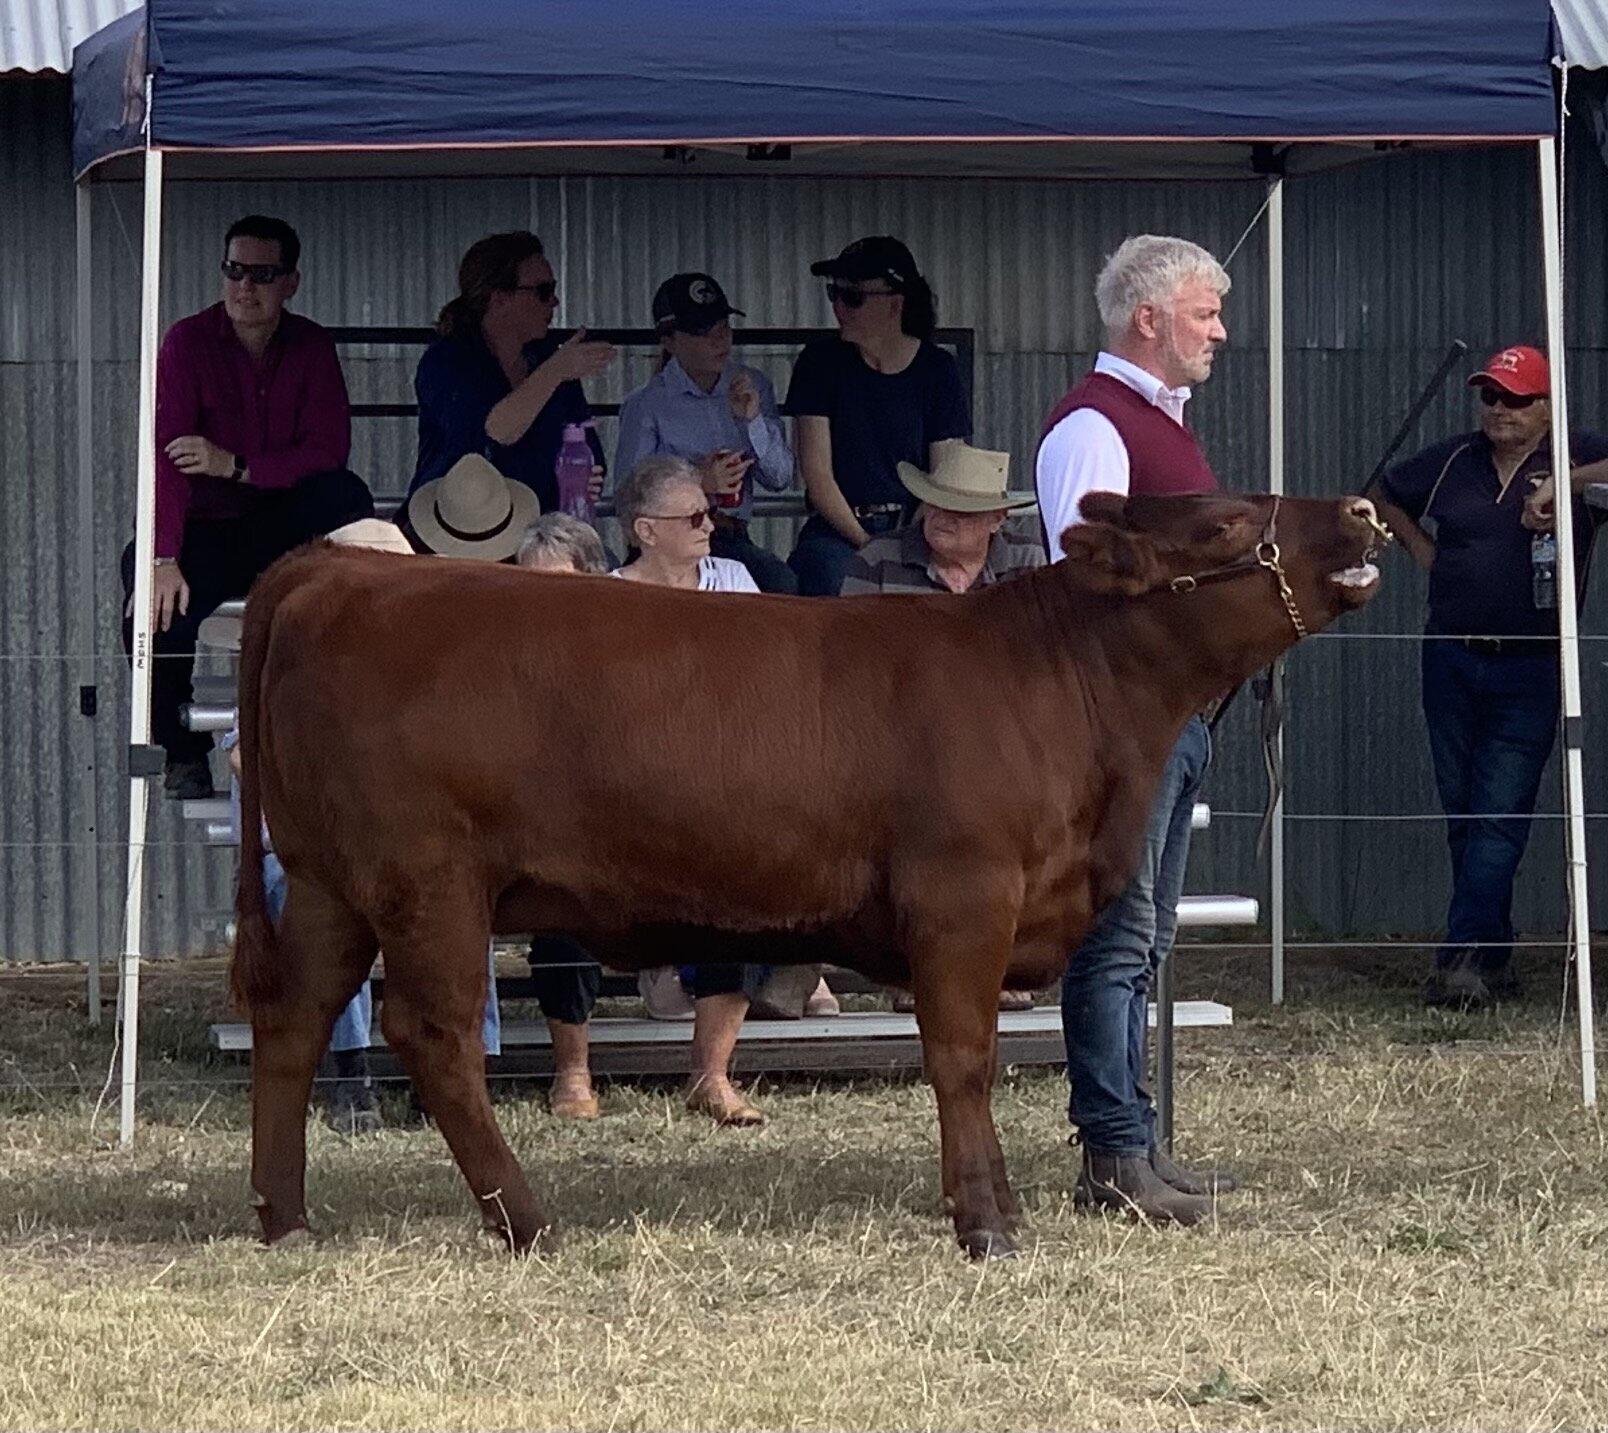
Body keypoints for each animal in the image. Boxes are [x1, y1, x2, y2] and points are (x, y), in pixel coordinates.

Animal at [230, 490, 1385, 1259]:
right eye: (1227, 523)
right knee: (430, 1036)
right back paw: (527, 1219)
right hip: (427, 882)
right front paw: (987, 1223)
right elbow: (962, 1058)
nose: (1365, 506)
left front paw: (997, 1209)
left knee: (292, 1021)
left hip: (332, 883)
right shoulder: (963, 895)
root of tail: (342, 569)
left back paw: (287, 1218)